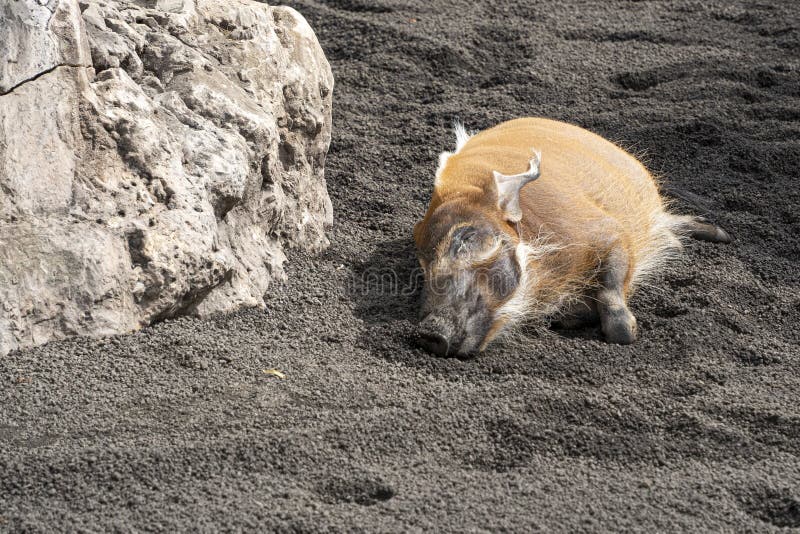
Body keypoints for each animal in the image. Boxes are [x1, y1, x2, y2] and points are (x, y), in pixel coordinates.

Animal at [413, 117, 731, 357]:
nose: (429, 332)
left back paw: (722, 235)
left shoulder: (613, 234)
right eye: (423, 264)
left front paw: (626, 329)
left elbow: (613, 298)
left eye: (466, 237)